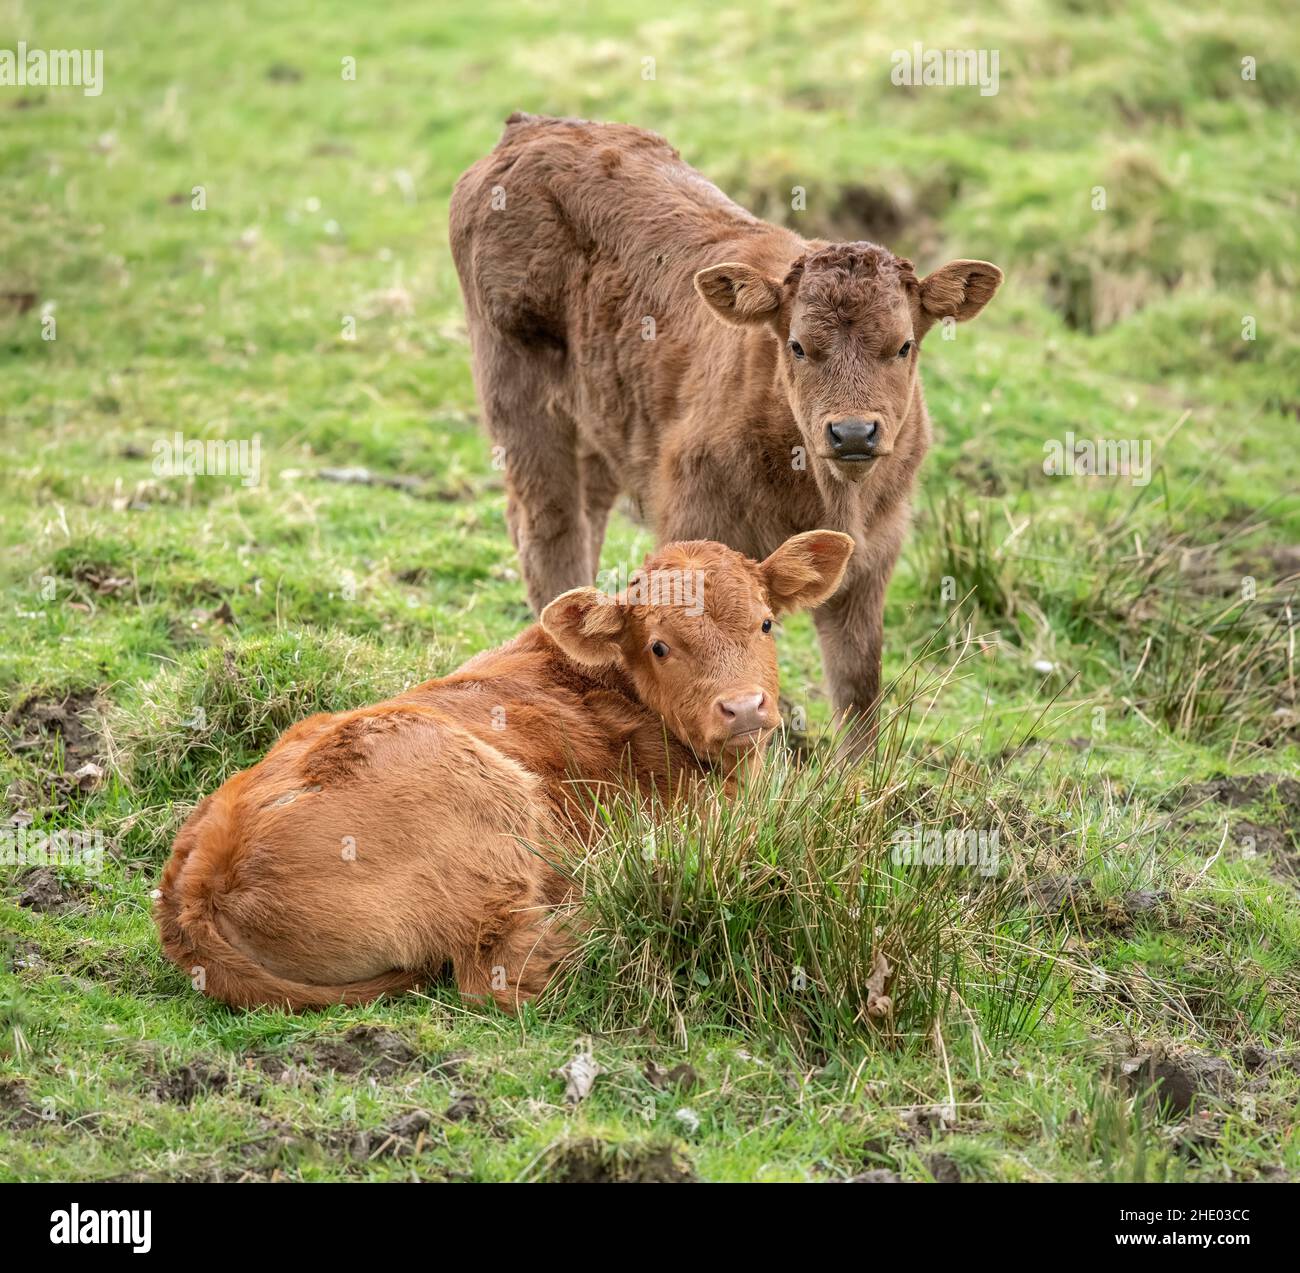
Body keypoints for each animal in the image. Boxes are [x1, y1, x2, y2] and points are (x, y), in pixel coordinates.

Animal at [154, 531, 853, 1013]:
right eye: (660, 645)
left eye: (766, 623)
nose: (744, 708)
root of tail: (195, 880)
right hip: (489, 813)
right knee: (502, 968)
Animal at [450, 113, 1002, 747]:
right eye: (797, 346)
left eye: (904, 345)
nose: (853, 433)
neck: (822, 489)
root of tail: (533, 127)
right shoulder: (695, 523)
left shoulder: (871, 562)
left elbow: (858, 687)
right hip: (516, 391)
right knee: (549, 527)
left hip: (603, 419)